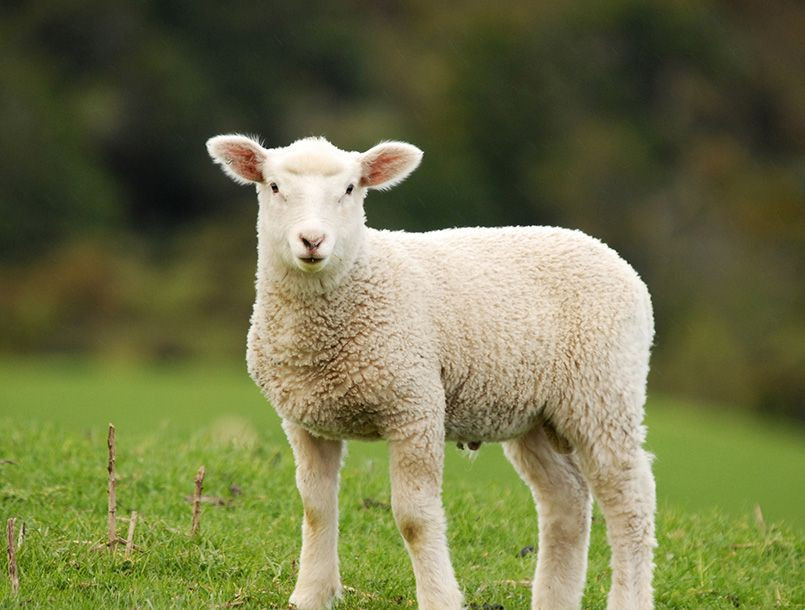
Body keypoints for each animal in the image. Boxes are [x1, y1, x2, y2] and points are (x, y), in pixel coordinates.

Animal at [206, 134, 656, 610]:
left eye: (350, 189)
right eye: (274, 186)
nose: (312, 240)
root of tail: (606, 252)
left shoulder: (415, 406)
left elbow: (414, 519)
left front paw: (440, 597)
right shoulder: (305, 422)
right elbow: (316, 508)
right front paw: (311, 594)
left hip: (604, 391)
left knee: (630, 502)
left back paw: (629, 596)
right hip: (535, 412)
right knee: (566, 503)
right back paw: (553, 600)